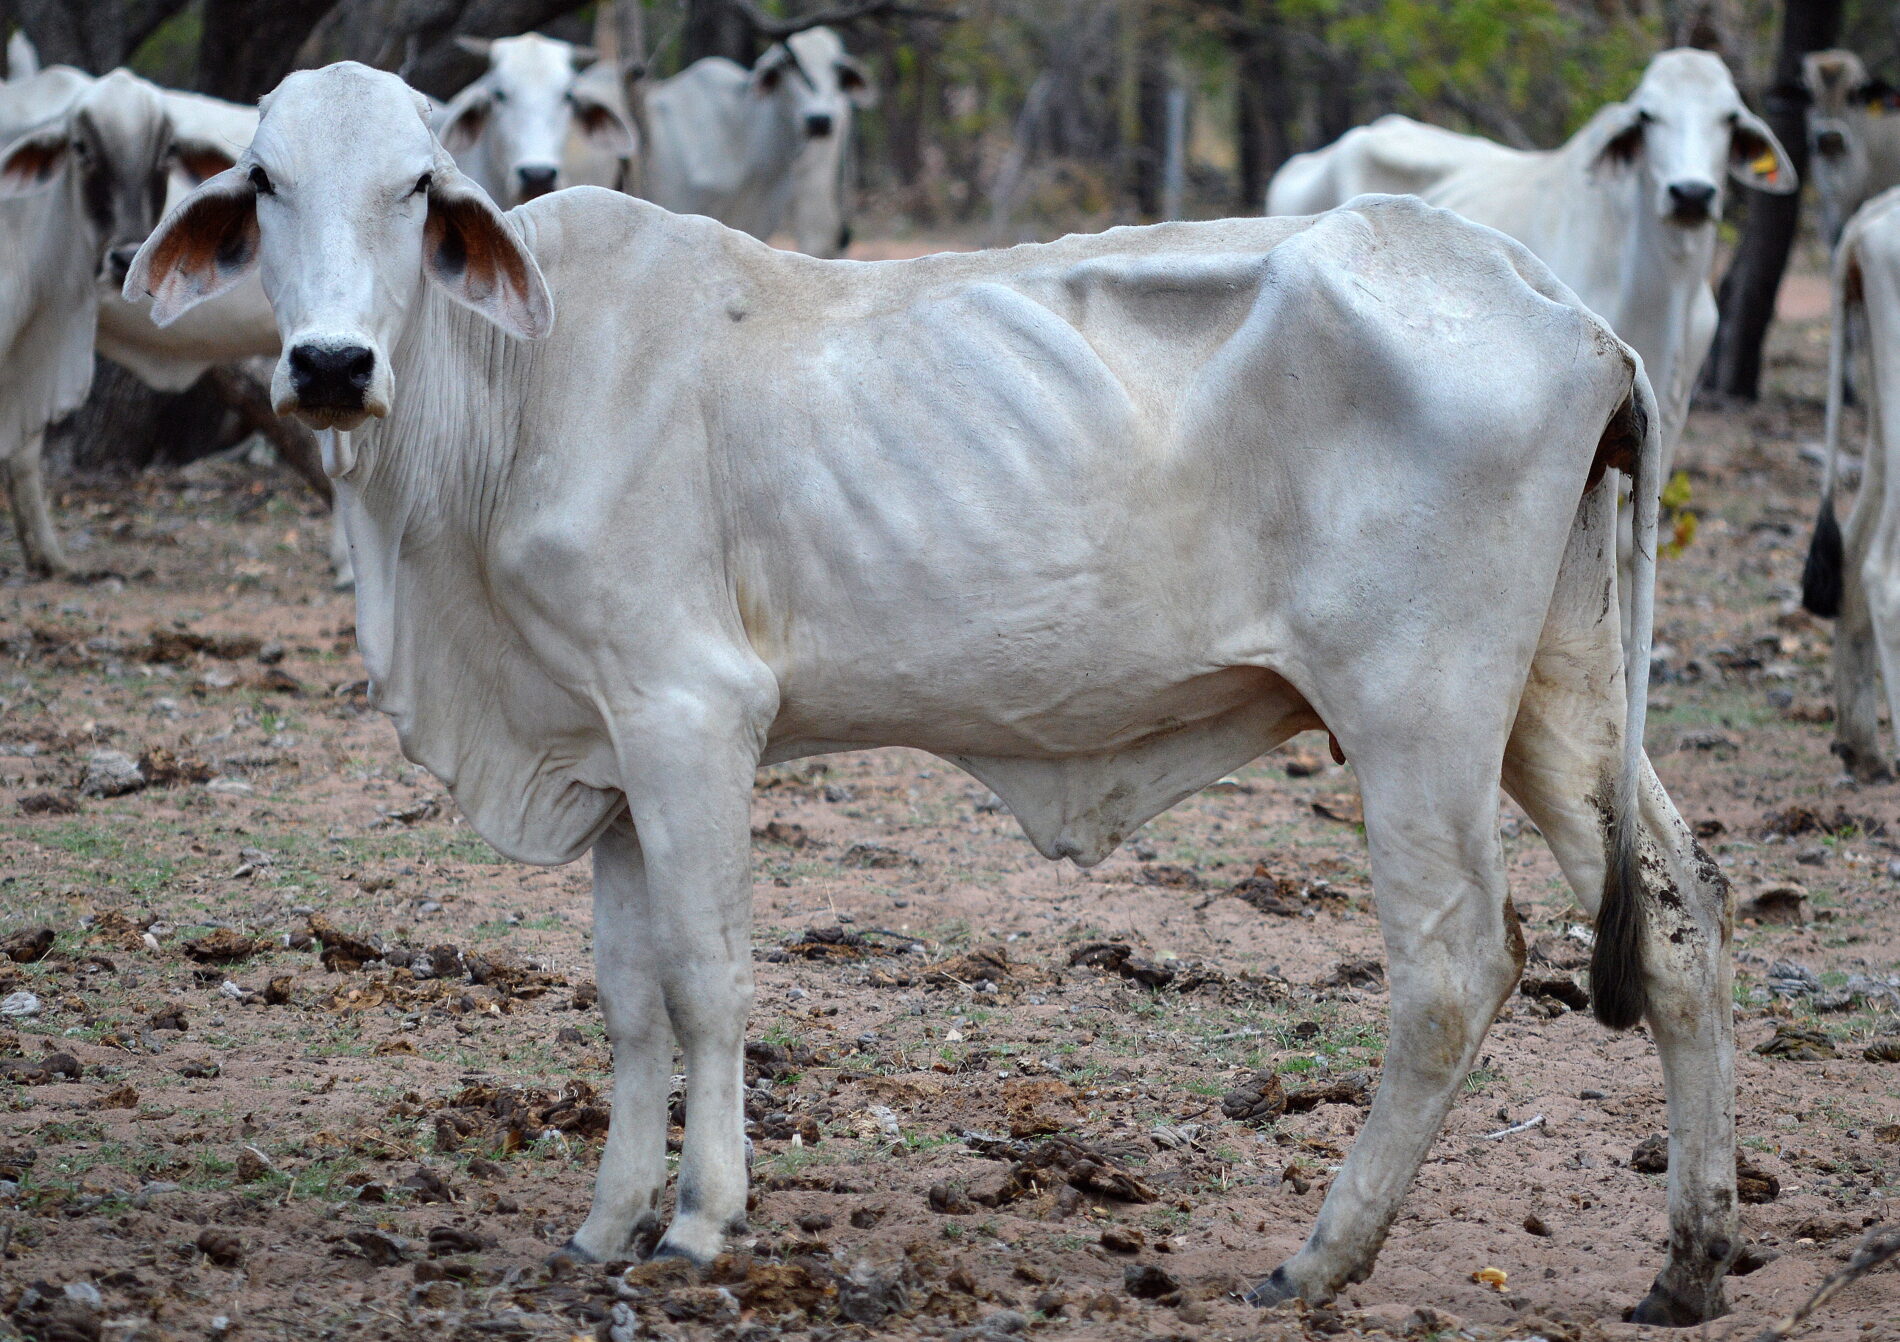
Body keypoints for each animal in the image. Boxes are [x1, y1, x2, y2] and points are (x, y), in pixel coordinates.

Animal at [129, 62, 1736, 1324]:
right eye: (263, 182)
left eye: (415, 185)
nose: (331, 362)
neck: (512, 395)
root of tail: (1567, 313)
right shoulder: (611, 756)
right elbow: (630, 997)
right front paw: (603, 1221)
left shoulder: (690, 712)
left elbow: (707, 977)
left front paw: (701, 1220)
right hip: (1555, 693)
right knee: (1679, 914)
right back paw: (1691, 1255)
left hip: (1418, 712)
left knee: (1456, 964)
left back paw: (1321, 1256)